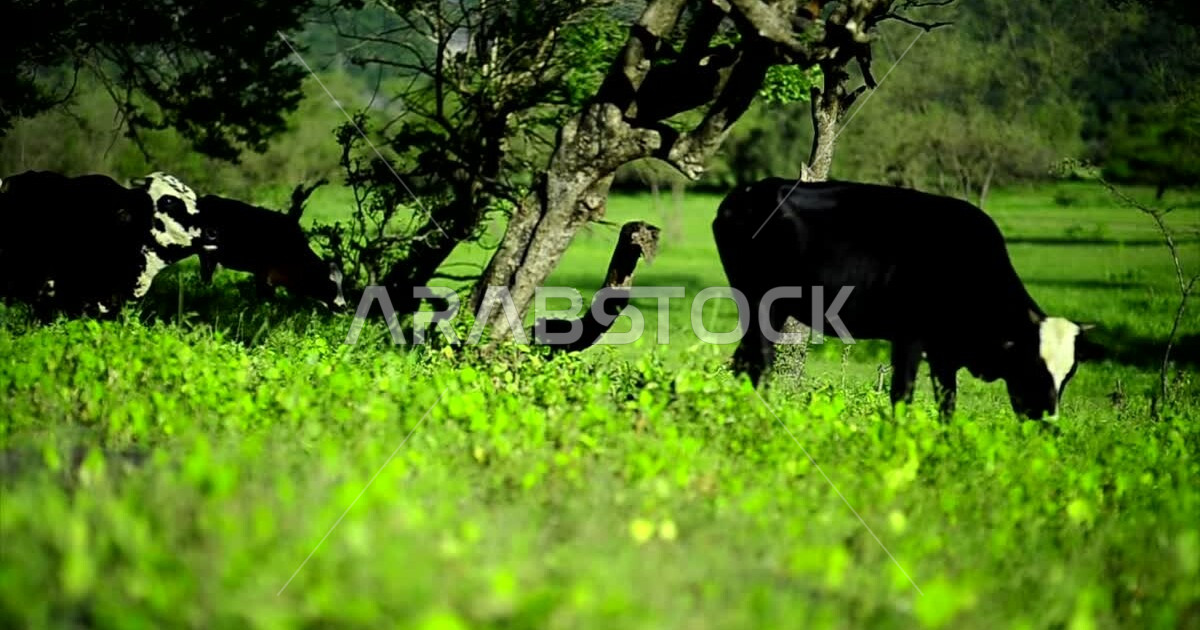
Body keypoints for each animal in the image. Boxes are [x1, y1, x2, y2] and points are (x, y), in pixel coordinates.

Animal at [712, 177, 1099, 422]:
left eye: (1068, 376)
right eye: (1034, 366)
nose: (1048, 424)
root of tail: (745, 193)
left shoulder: (945, 353)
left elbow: (948, 404)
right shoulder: (910, 338)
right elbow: (903, 394)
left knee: (745, 362)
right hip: (760, 305)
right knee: (757, 364)